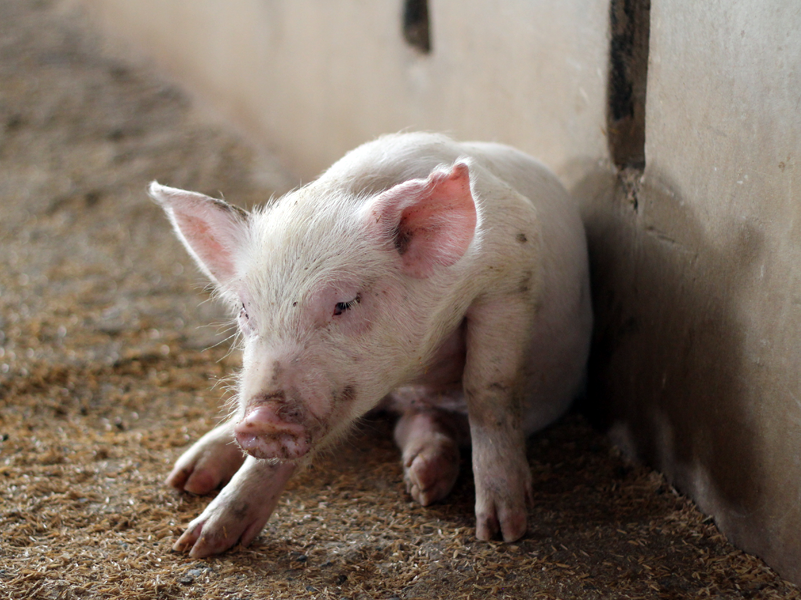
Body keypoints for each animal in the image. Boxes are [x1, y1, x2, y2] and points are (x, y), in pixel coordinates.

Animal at [148, 132, 592, 558]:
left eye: (344, 302)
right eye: (244, 308)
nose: (263, 421)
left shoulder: (512, 269)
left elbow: (488, 390)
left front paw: (503, 531)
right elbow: (271, 461)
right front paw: (194, 546)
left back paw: (425, 482)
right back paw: (186, 475)